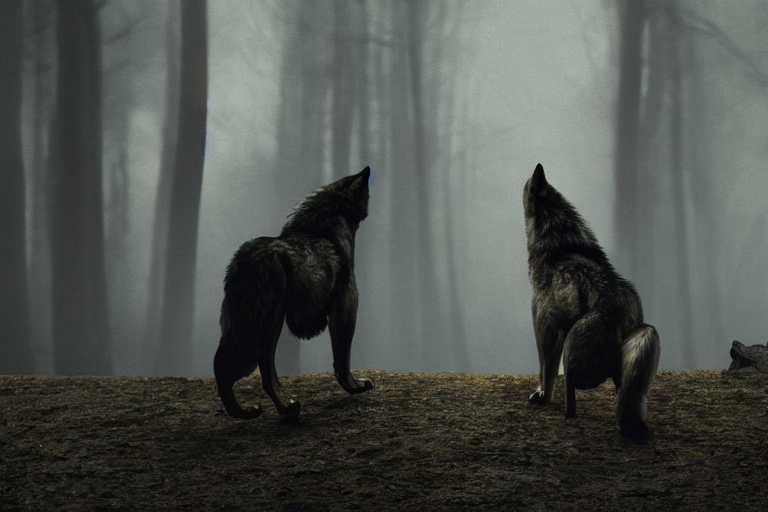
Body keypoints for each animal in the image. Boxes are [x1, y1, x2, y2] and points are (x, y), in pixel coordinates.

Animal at [214, 167, 374, 419]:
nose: (367, 170)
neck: (326, 229)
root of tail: (247, 259)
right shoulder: (346, 305)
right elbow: (343, 359)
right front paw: (356, 386)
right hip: (269, 324)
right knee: (238, 368)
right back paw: (276, 411)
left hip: (254, 324)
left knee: (254, 372)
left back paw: (275, 411)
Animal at [523, 164, 660, 442]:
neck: (562, 244)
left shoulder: (544, 325)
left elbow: (546, 371)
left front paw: (541, 397)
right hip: (646, 337)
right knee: (625, 397)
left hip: (570, 348)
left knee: (571, 405)